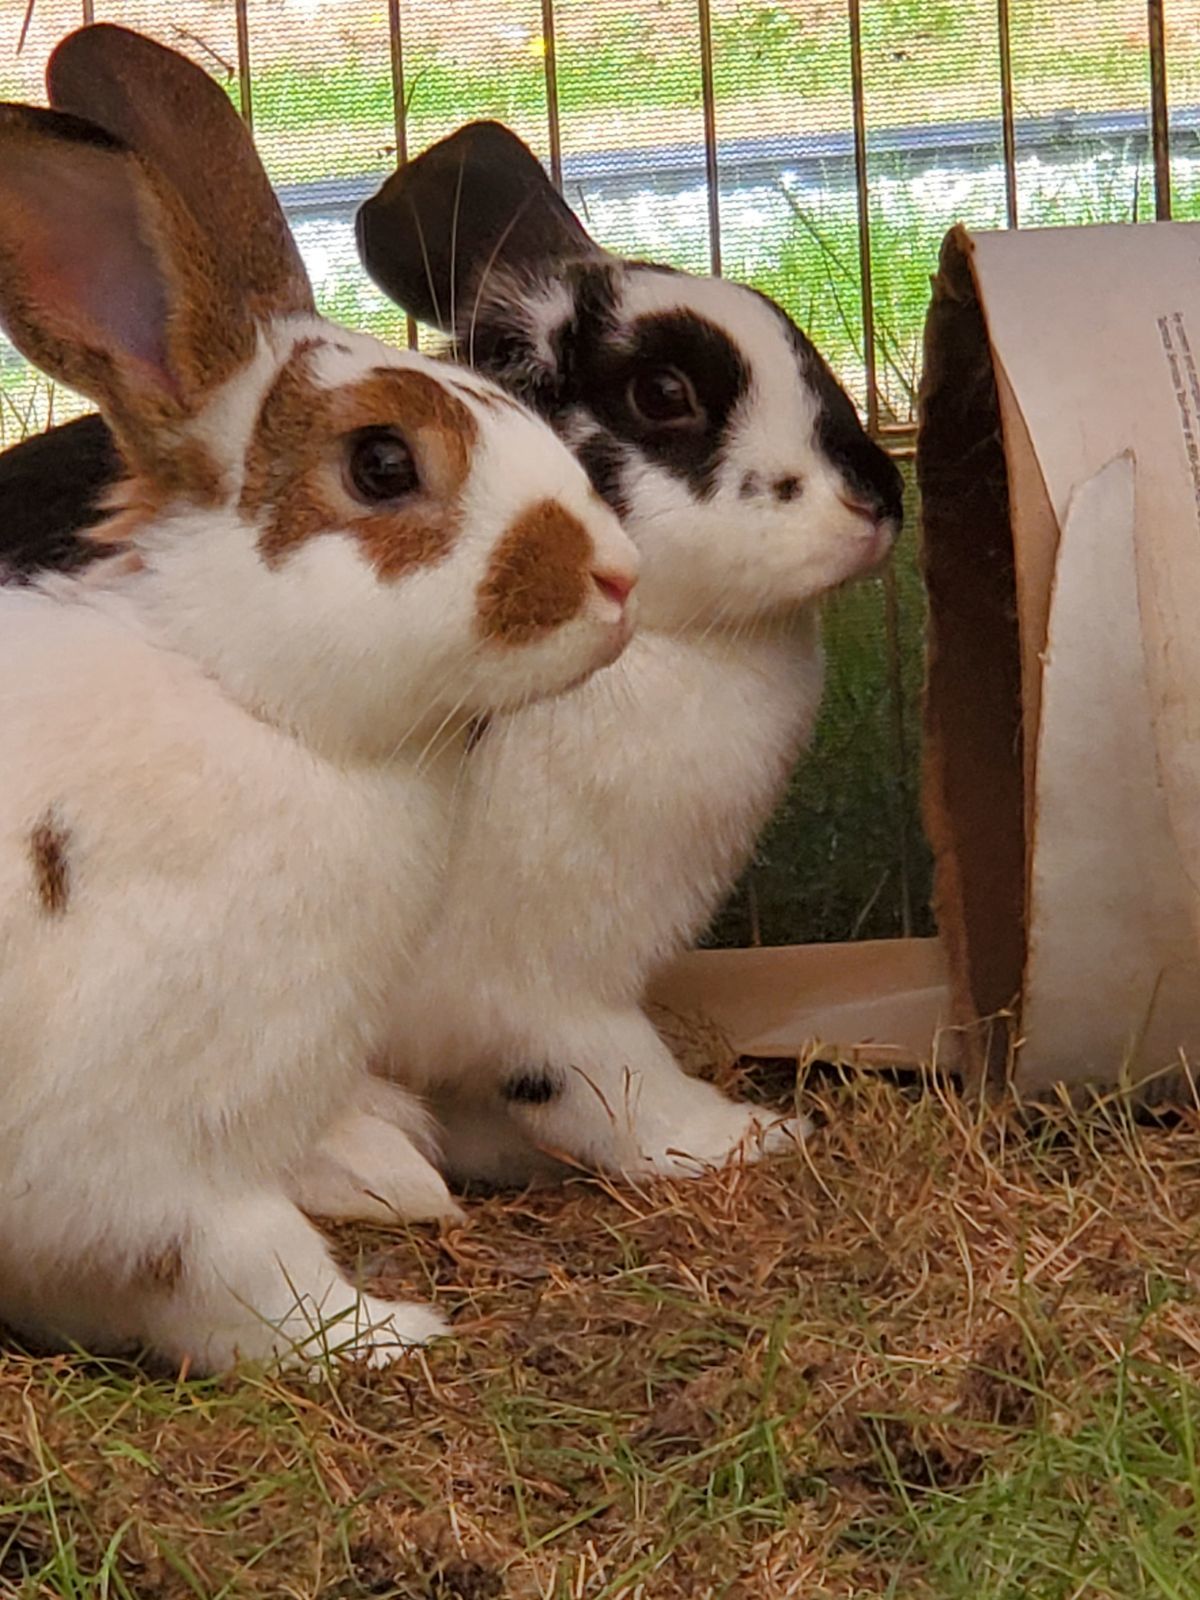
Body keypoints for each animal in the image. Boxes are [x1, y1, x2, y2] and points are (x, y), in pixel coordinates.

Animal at [0, 31, 637, 1373]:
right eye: (383, 463)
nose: (618, 579)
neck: (252, 703)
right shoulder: (136, 1150)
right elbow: (234, 1263)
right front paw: (378, 1330)